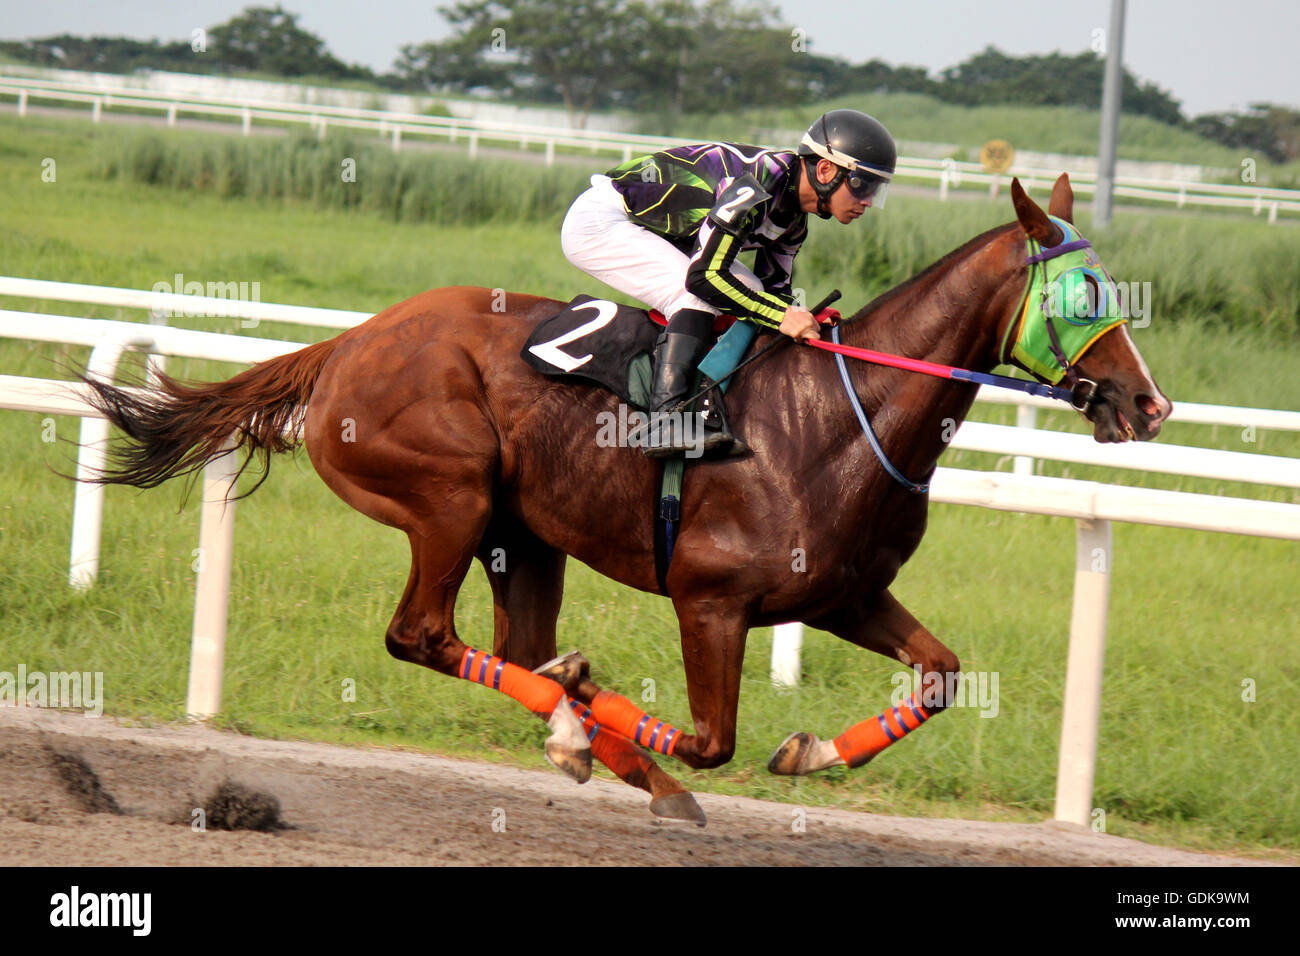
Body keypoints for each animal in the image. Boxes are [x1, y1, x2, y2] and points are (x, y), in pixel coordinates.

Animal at [78, 174, 1171, 825]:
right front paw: (623, 728)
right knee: (422, 634)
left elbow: (941, 675)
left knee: (511, 648)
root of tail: (349, 341)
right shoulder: (710, 599)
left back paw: (585, 726)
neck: (838, 418)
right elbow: (710, 737)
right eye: (1085, 296)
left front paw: (811, 750)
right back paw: (584, 728)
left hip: (522, 534)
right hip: (448, 496)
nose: (1148, 403)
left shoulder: (842, 594)